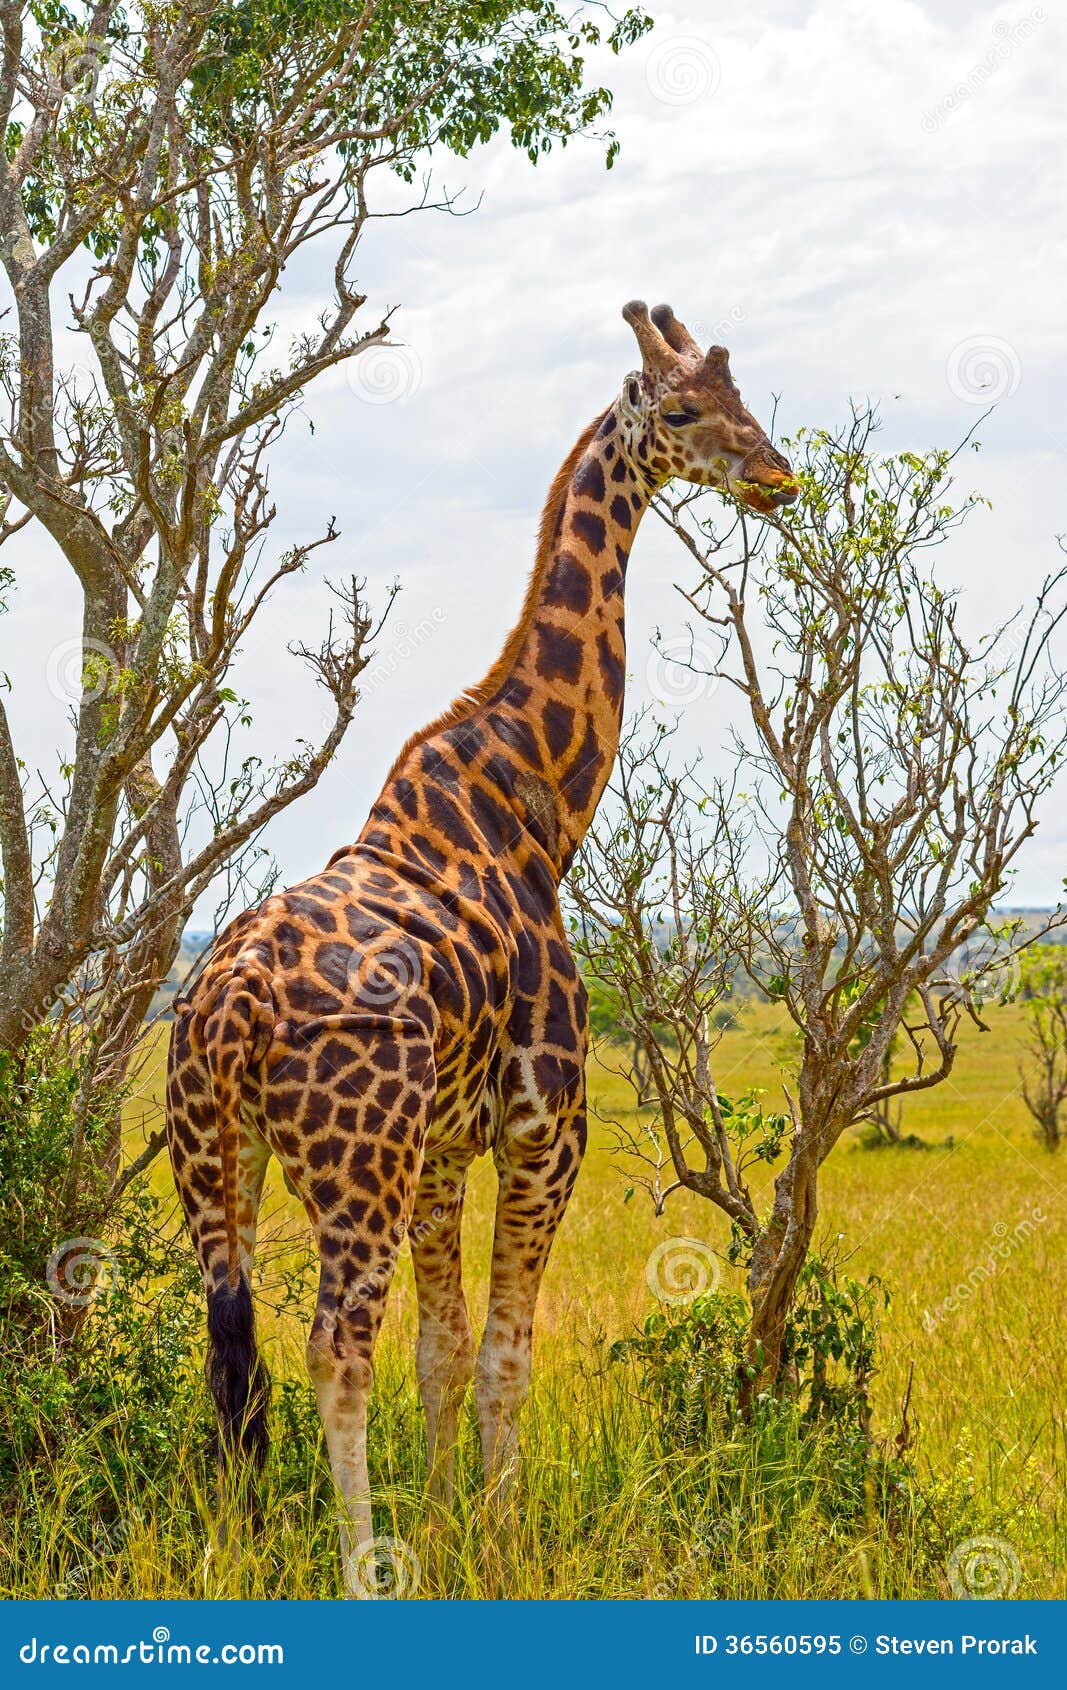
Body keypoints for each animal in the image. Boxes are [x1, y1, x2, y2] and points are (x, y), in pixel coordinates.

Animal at [166, 300, 797, 1593]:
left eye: (744, 396)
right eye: (684, 411)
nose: (776, 475)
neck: (539, 802)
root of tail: (232, 997)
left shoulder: (442, 1152)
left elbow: (444, 1350)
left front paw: (450, 1517)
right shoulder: (544, 1127)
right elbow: (505, 1346)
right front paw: (495, 1535)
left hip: (214, 1155)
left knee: (229, 1346)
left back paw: (235, 1550)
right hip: (350, 1165)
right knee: (329, 1347)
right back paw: (360, 1566)